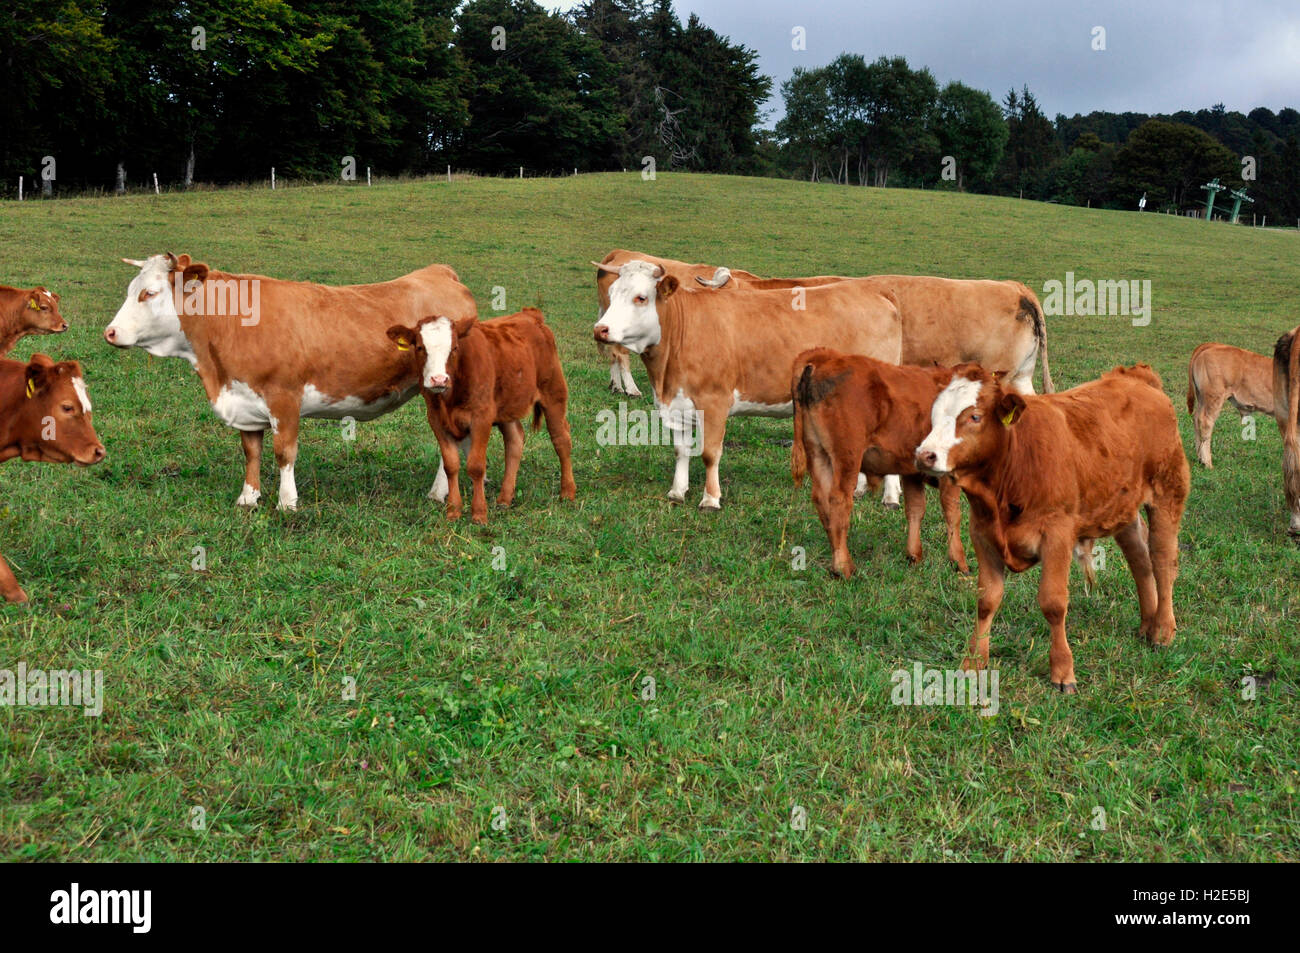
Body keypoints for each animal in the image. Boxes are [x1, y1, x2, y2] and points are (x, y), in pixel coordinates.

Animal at [104, 253, 476, 510]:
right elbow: (251, 451)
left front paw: (287, 503)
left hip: (441, 387)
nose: (110, 332)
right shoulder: (245, 399)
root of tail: (438, 271)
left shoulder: (284, 398)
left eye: (149, 293)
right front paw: (248, 497)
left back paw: (440, 492)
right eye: (131, 290)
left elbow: (284, 452)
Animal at [386, 308, 576, 525]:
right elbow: (451, 466)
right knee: (515, 440)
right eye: (419, 347)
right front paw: (453, 511)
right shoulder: (436, 420)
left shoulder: (481, 418)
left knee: (561, 440)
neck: (449, 398)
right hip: (506, 405)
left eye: (454, 348)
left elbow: (476, 466)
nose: (439, 379)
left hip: (554, 393)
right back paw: (504, 498)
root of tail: (530, 314)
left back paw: (567, 492)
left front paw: (479, 514)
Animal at [593, 259, 903, 509]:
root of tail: (875, 291)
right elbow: (681, 451)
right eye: (612, 293)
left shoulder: (714, 402)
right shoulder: (677, 404)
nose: (600, 329)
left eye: (641, 297)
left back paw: (891, 497)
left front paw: (710, 499)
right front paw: (677, 491)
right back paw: (862, 489)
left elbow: (710, 453)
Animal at [790, 348, 969, 576]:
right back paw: (844, 567)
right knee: (839, 500)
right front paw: (959, 562)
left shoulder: (911, 472)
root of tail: (824, 357)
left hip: (817, 452)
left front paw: (914, 556)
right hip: (847, 456)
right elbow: (952, 512)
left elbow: (916, 508)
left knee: (821, 500)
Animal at [915, 364, 1189, 692]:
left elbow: (1053, 603)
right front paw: (974, 661)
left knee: (1162, 561)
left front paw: (1062, 670)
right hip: (1123, 508)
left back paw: (1163, 630)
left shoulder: (1057, 535)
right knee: (1140, 560)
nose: (924, 454)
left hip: (1167, 492)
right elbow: (986, 601)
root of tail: (1134, 375)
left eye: (975, 417)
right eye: (934, 414)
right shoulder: (982, 534)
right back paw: (1147, 623)